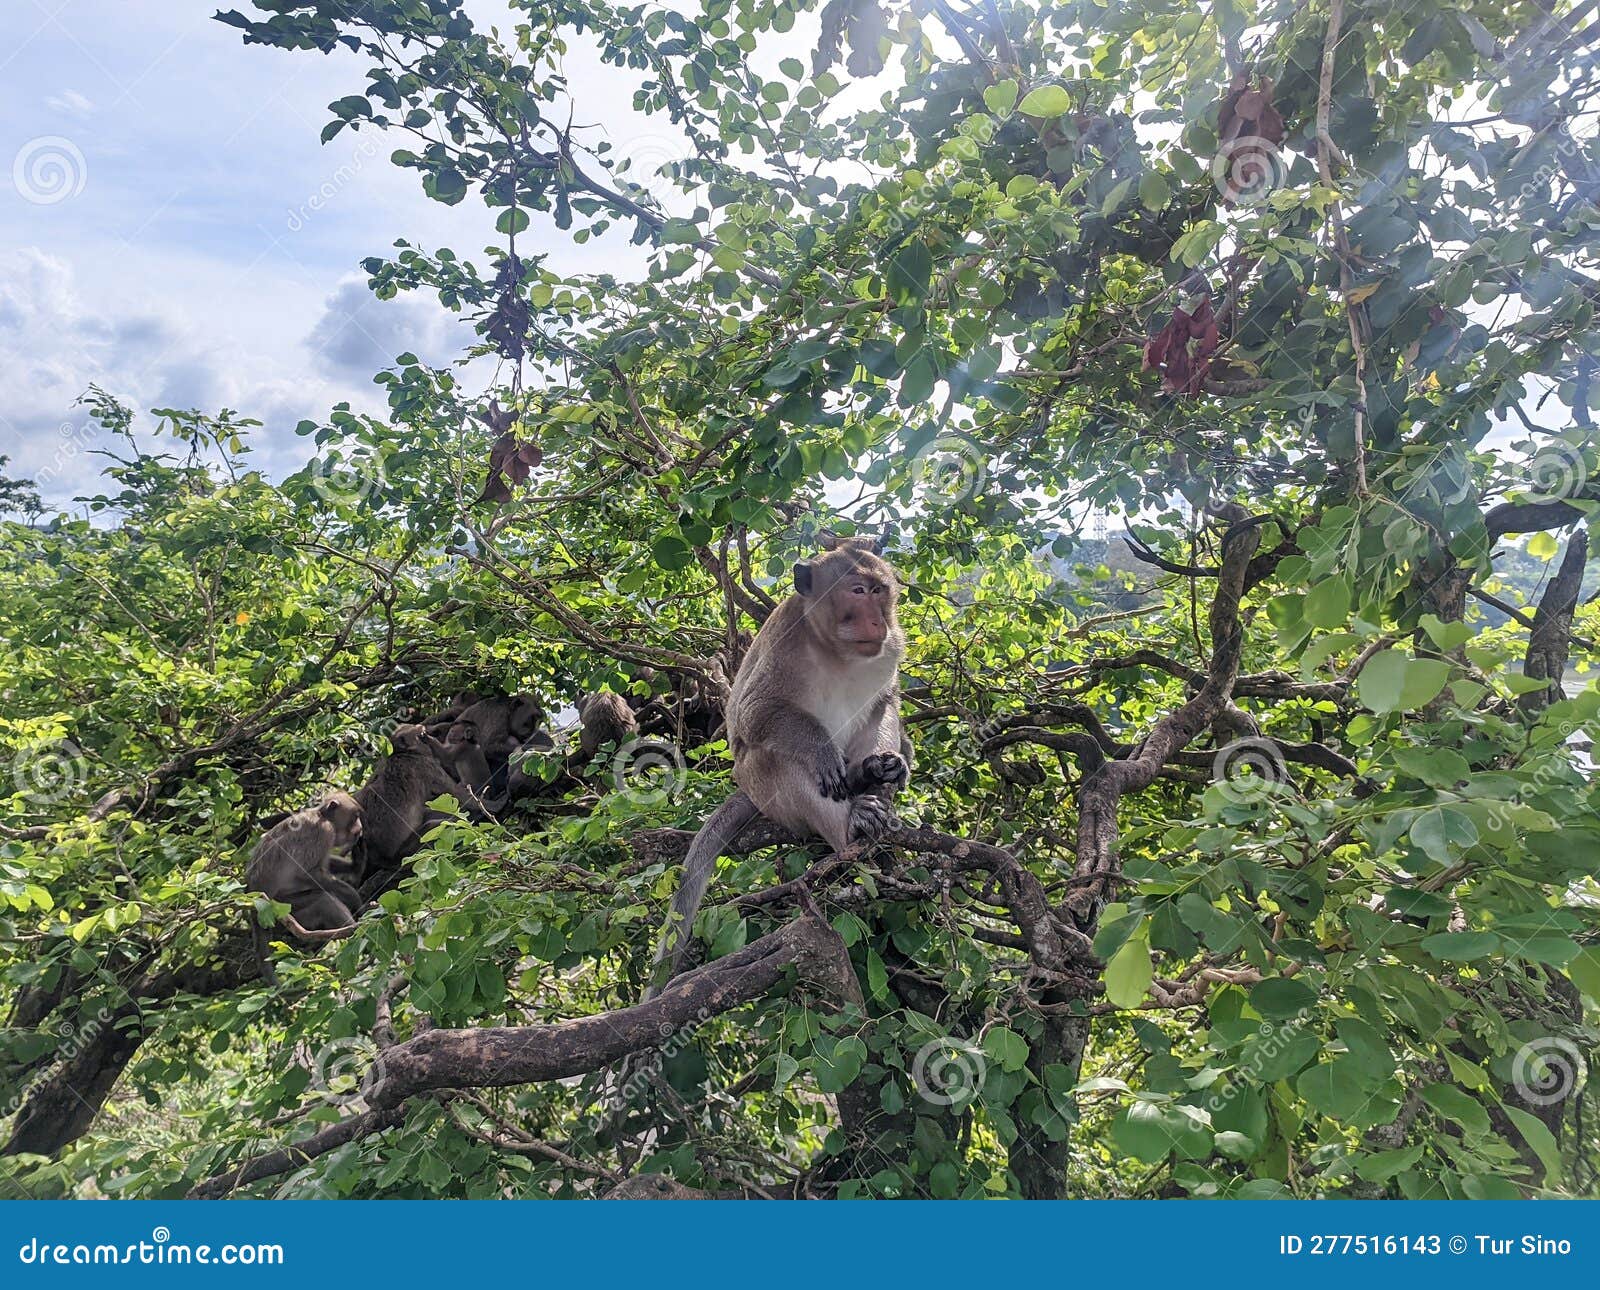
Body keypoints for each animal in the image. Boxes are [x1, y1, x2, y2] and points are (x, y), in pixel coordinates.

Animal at [246, 791, 366, 943]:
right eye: (355, 817)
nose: (360, 829)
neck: (323, 816)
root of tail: (255, 909)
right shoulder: (323, 832)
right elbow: (305, 873)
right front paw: (353, 896)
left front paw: (355, 865)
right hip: (282, 910)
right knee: (323, 900)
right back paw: (353, 930)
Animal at [644, 534, 912, 998]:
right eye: (857, 591)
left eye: (880, 590)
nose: (877, 622)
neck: (836, 651)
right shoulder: (784, 644)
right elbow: (755, 714)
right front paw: (822, 752)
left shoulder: (890, 649)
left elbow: (886, 701)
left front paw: (886, 765)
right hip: (764, 788)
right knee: (778, 759)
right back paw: (851, 826)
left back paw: (871, 780)